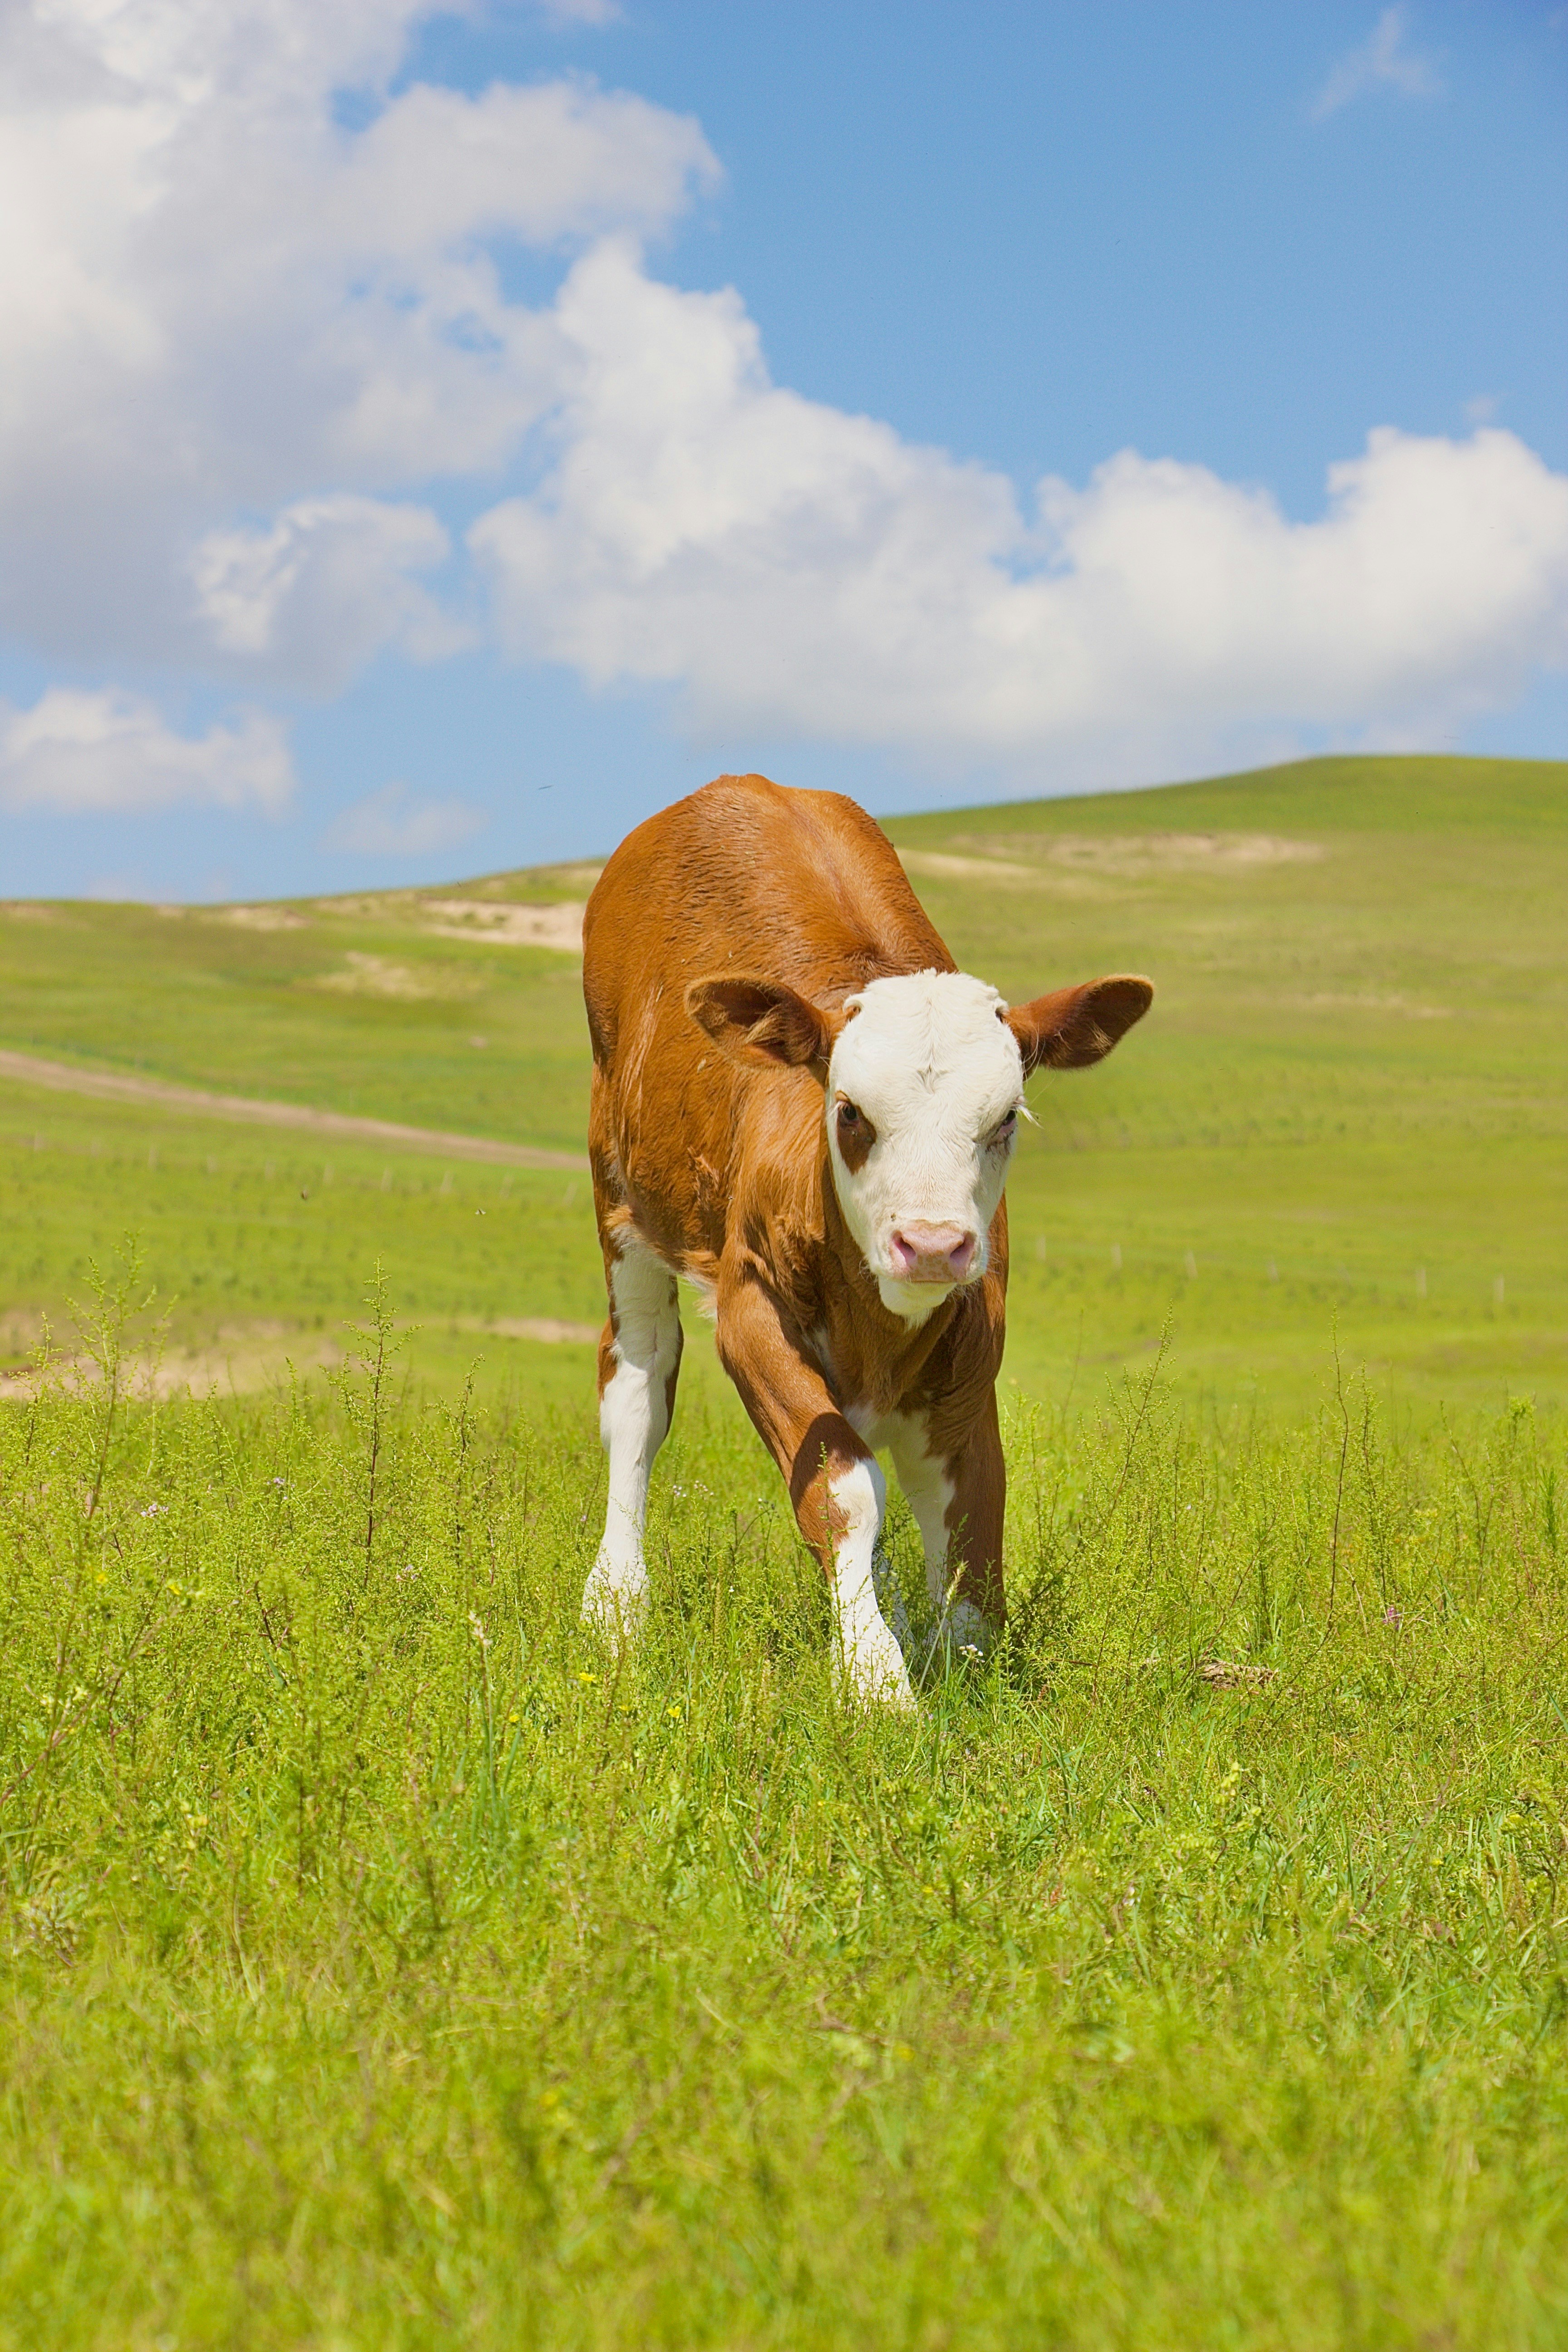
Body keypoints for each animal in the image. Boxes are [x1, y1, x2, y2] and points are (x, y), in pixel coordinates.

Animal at [580, 774, 1151, 1705]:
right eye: (850, 1111)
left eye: (1006, 1118)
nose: (932, 1243)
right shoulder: (751, 1311)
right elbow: (844, 1487)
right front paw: (877, 1676)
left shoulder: (971, 1345)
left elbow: (970, 1515)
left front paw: (958, 1658)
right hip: (622, 1203)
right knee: (636, 1389)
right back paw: (617, 1599)